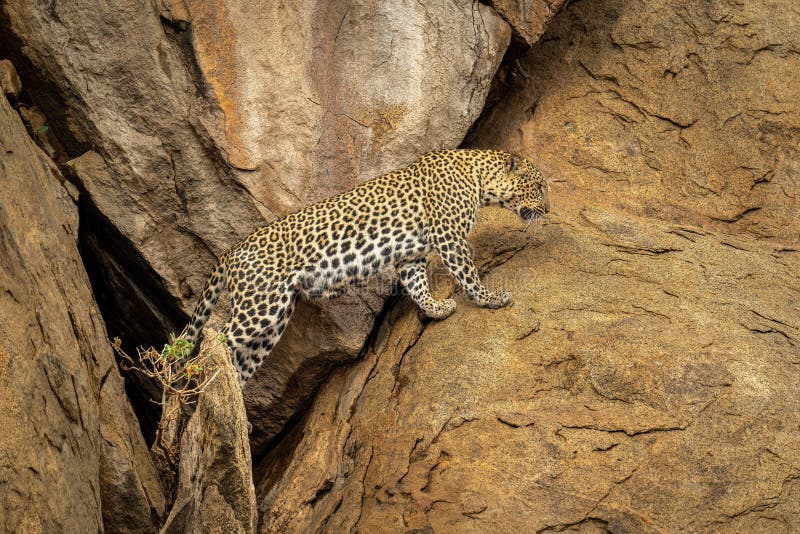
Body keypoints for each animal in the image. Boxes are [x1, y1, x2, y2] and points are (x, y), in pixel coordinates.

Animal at [182, 149, 550, 383]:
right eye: (539, 186)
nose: (548, 210)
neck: (478, 176)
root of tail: (232, 250)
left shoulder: (411, 255)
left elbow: (417, 284)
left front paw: (435, 308)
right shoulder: (449, 235)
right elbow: (467, 271)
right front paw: (491, 299)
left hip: (275, 318)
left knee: (240, 361)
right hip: (260, 306)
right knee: (211, 345)